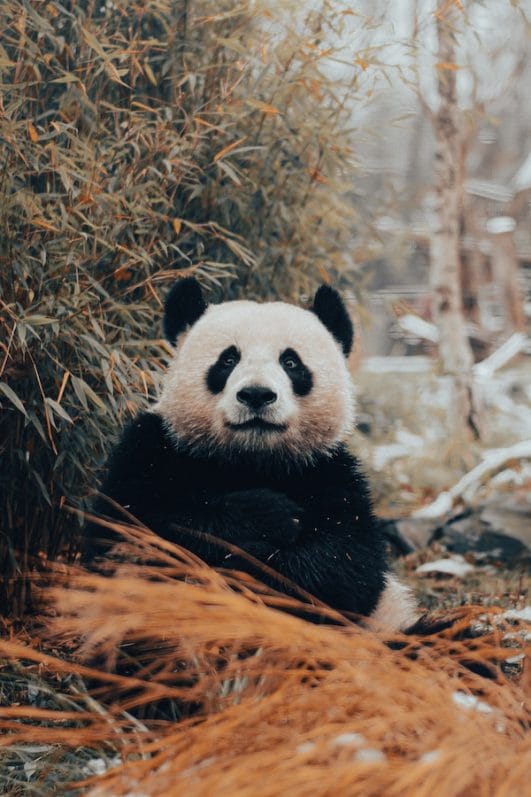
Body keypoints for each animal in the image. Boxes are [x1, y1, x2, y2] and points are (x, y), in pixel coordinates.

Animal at [85, 278, 418, 631]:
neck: (251, 458)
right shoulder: (154, 449)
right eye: (228, 360)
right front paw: (267, 515)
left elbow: (346, 566)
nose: (257, 394)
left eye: (291, 362)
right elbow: (132, 531)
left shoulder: (330, 472)